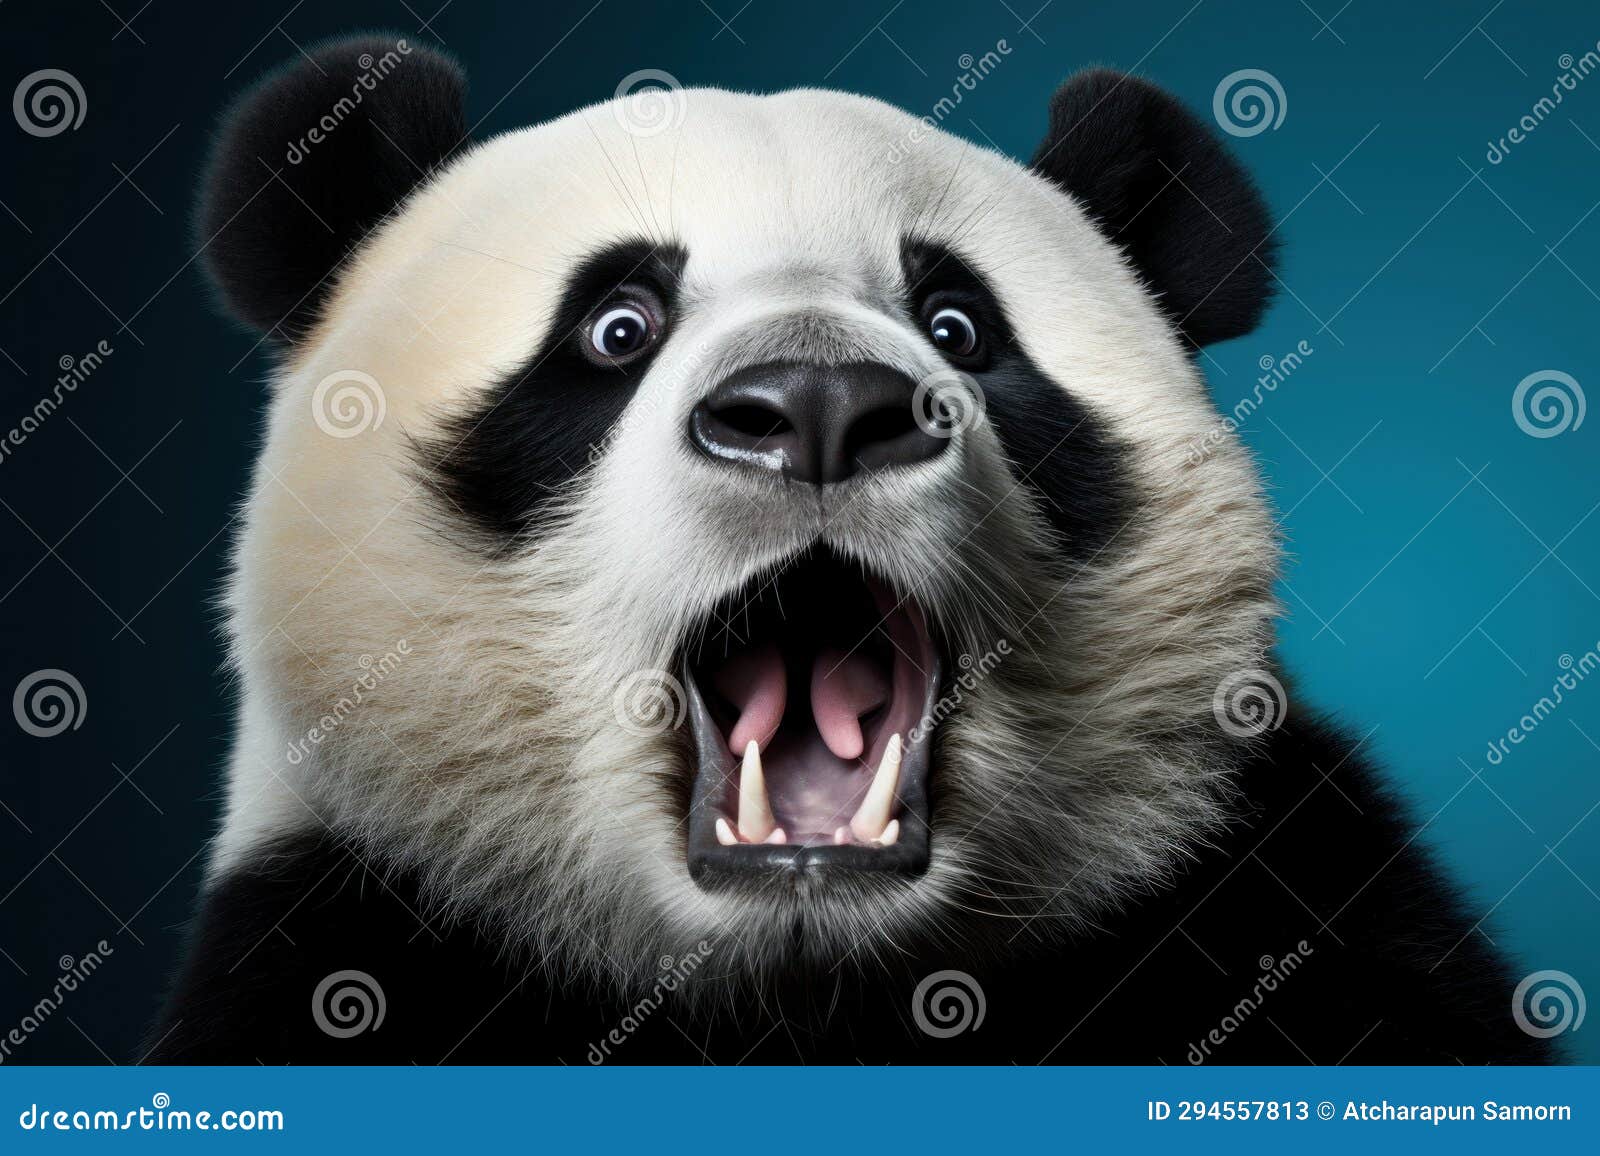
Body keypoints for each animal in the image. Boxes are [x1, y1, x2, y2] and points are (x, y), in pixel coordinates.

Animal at [149, 34, 1552, 1064]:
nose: (821, 406)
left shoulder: (1273, 887)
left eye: (959, 322)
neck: (809, 973)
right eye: (616, 325)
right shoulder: (335, 933)